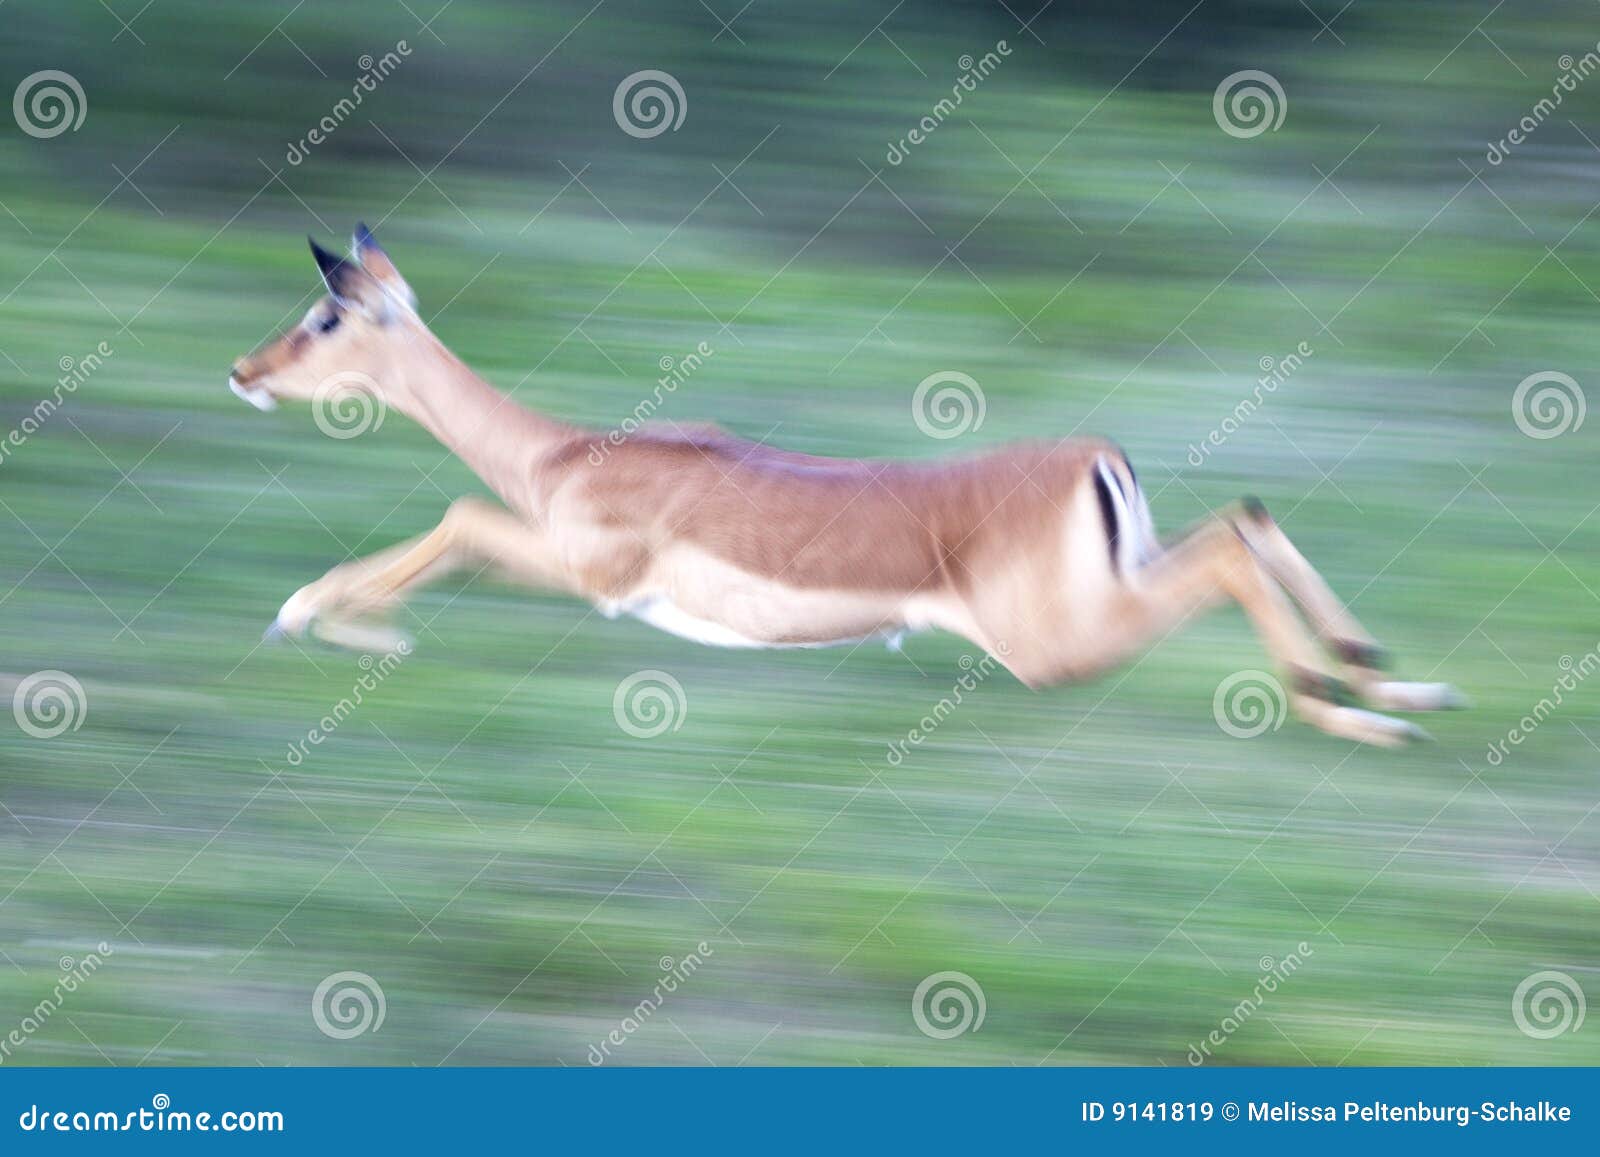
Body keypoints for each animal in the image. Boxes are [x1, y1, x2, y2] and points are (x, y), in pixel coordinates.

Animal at [230, 226, 1463, 747]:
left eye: (326, 315)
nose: (245, 371)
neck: (562, 456)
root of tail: (1092, 456)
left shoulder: (590, 570)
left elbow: (459, 516)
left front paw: (316, 616)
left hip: (1056, 641)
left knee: (1230, 555)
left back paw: (1357, 712)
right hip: (1122, 577)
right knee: (1245, 518)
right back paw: (1399, 683)